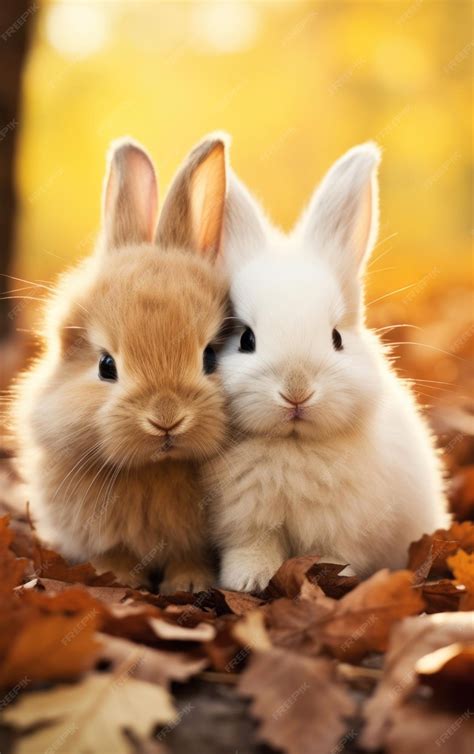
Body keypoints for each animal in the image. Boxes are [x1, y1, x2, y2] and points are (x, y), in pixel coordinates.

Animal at [11, 133, 230, 592]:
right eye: (106, 366)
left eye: (210, 356)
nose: (166, 418)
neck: (155, 469)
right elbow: (116, 555)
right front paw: (119, 580)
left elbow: (188, 556)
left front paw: (189, 584)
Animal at [207, 142, 450, 592]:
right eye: (246, 340)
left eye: (336, 337)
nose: (296, 390)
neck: (292, 446)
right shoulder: (248, 524)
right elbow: (251, 549)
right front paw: (247, 582)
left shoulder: (342, 529)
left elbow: (335, 556)